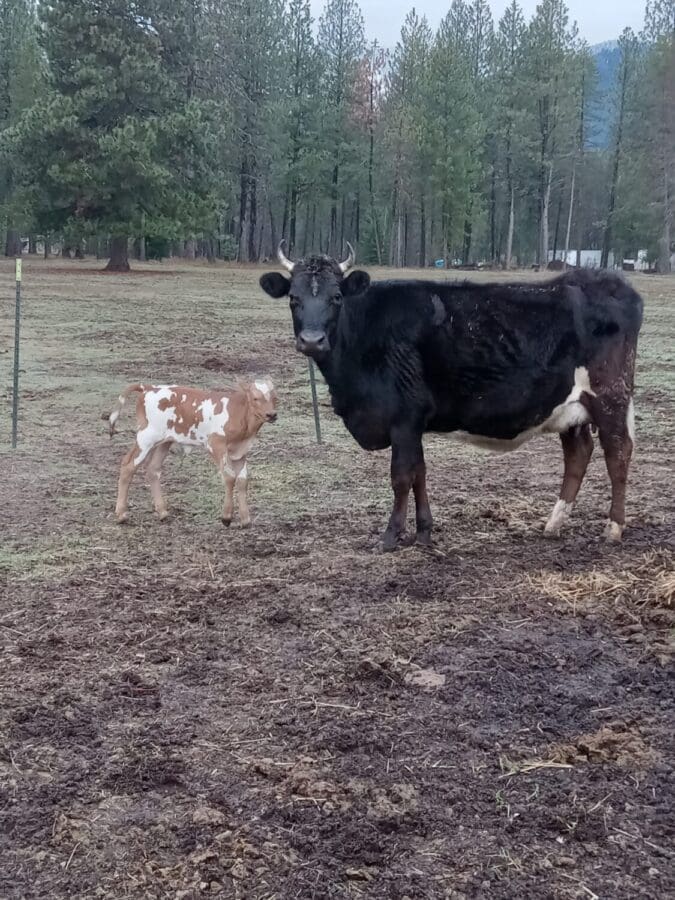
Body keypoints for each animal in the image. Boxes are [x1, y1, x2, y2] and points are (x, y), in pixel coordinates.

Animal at [107, 378, 278, 525]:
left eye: (275, 398)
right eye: (255, 398)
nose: (272, 415)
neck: (238, 413)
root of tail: (149, 388)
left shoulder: (240, 451)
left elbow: (242, 480)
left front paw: (245, 519)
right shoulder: (216, 445)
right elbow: (229, 477)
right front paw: (227, 517)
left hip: (164, 441)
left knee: (153, 469)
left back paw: (162, 512)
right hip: (146, 437)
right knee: (128, 465)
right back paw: (121, 514)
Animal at [260, 243, 643, 551]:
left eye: (336, 297)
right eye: (293, 299)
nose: (312, 340)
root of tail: (609, 281)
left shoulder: (403, 418)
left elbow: (401, 476)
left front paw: (390, 536)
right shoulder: (413, 424)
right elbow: (420, 473)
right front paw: (424, 533)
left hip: (609, 396)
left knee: (618, 454)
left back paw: (613, 528)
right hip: (570, 407)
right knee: (578, 454)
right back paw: (554, 524)